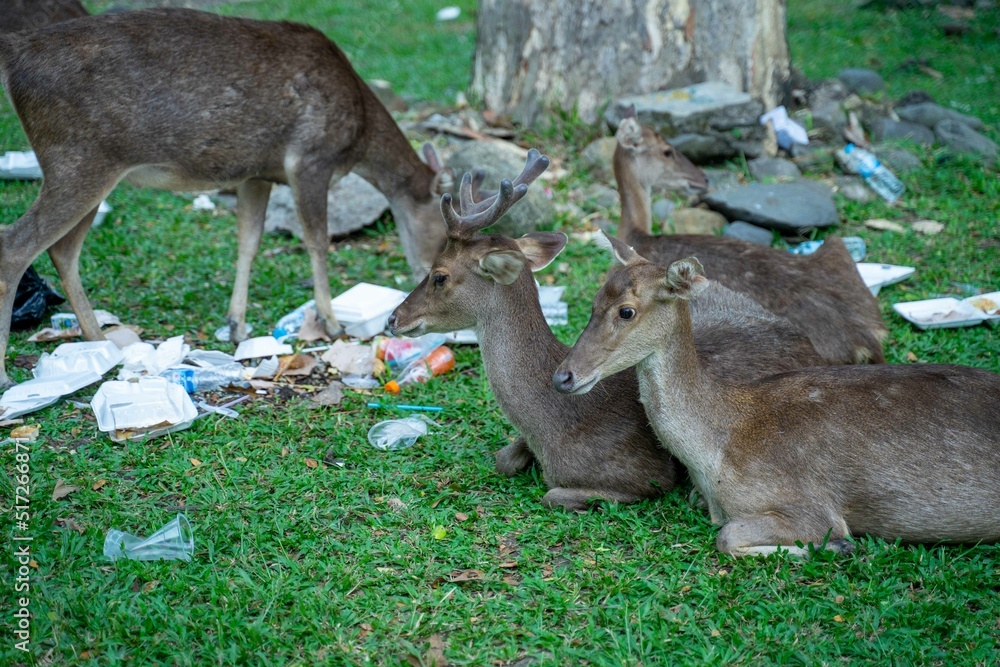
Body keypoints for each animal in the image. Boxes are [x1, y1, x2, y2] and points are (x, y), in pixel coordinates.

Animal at [0, 8, 453, 388]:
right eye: (443, 230)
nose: (428, 275)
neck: (357, 138)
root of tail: (14, 55)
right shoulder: (309, 159)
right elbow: (317, 241)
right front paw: (331, 322)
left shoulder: (257, 173)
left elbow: (249, 241)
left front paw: (236, 324)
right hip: (77, 160)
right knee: (16, 245)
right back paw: (11, 374)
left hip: (86, 170)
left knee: (62, 250)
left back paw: (103, 344)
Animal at [386, 151, 828, 511]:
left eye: (439, 275)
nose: (393, 318)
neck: (551, 428)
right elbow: (503, 460)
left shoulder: (643, 473)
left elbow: (553, 492)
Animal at [554, 234, 1000, 556]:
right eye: (594, 301)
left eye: (626, 311)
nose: (563, 376)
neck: (714, 455)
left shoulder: (807, 505)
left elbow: (729, 537)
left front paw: (839, 546)